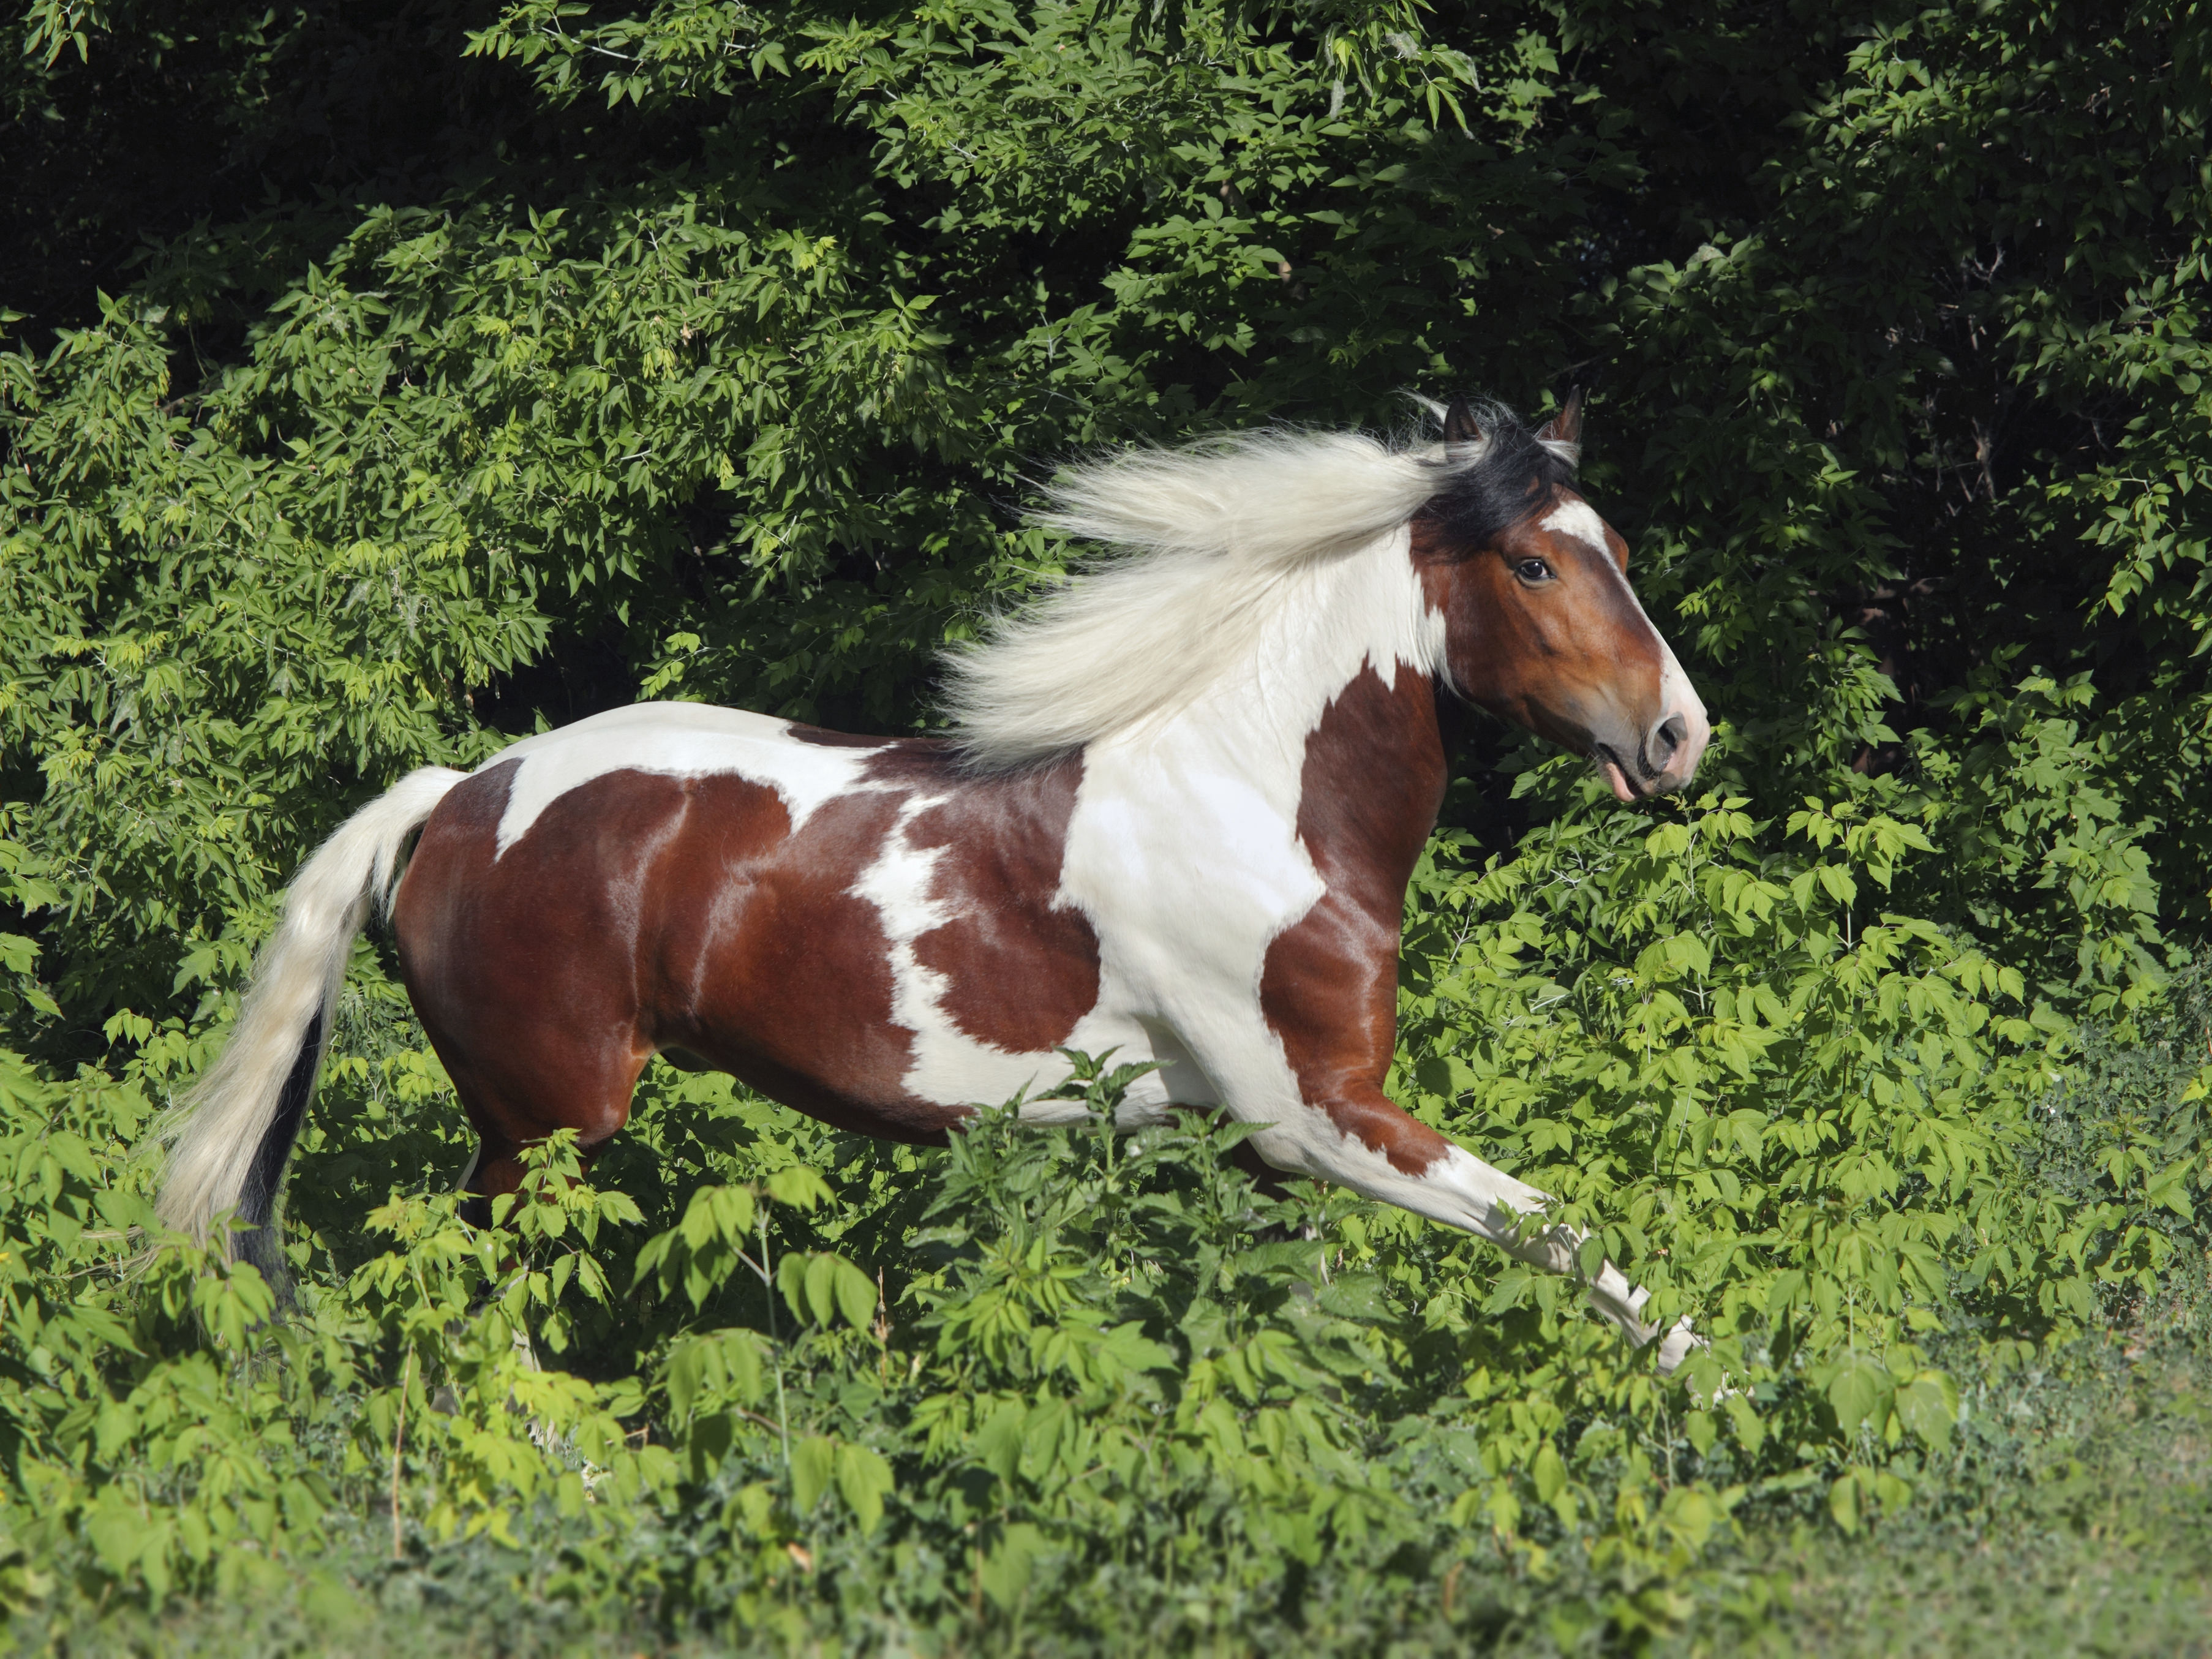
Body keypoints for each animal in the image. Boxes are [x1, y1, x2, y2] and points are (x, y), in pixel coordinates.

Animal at [155, 392, 1710, 1368]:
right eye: (1532, 564)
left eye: (1622, 552)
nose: (1677, 734)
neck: (1252, 798)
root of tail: (460, 799)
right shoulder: (1321, 1114)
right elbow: (1569, 1238)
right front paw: (1722, 1401)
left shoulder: (1258, 1152)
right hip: (547, 1132)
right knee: (479, 1305)